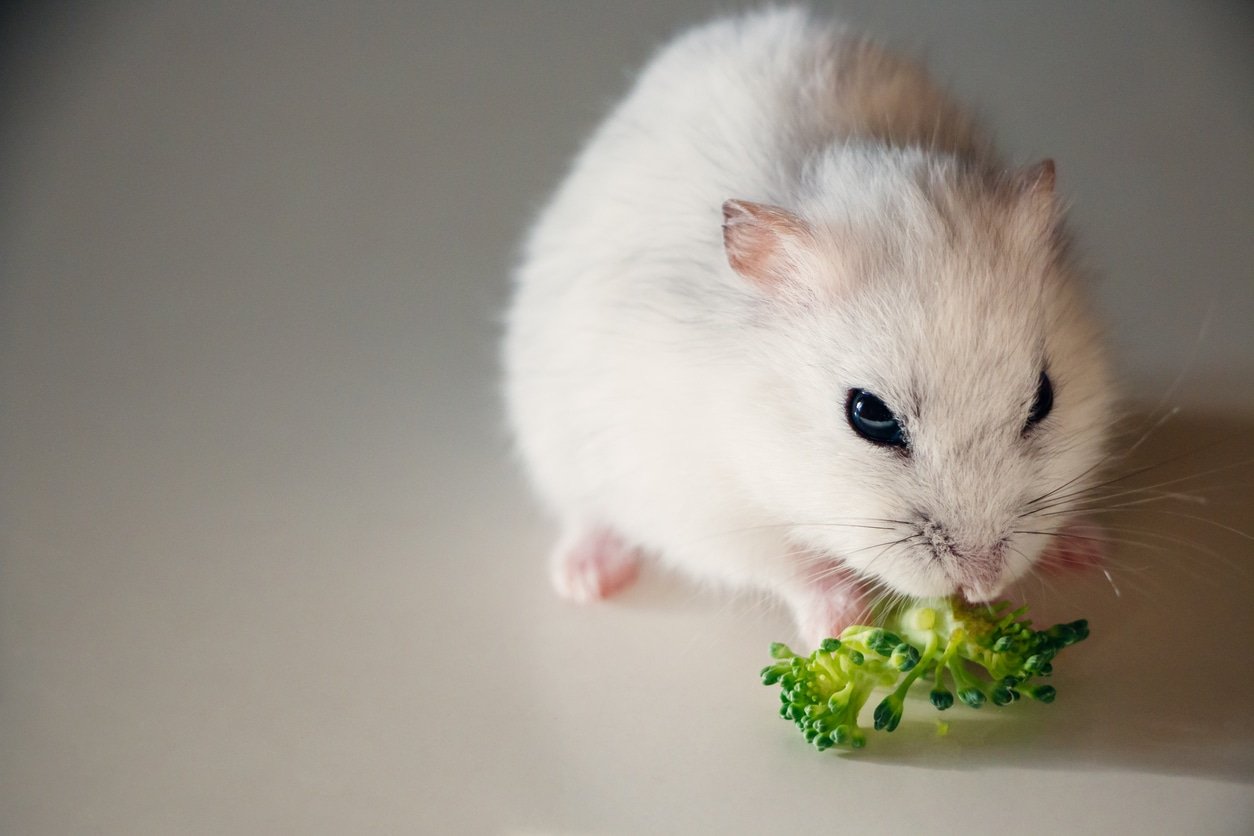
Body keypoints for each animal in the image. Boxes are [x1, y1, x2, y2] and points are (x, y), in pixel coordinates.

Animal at [503, 7, 1113, 645]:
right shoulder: (698, 504)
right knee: (585, 515)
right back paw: (587, 578)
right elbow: (791, 565)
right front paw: (840, 625)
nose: (981, 584)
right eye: (869, 414)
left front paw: (1086, 549)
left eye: (1044, 398)